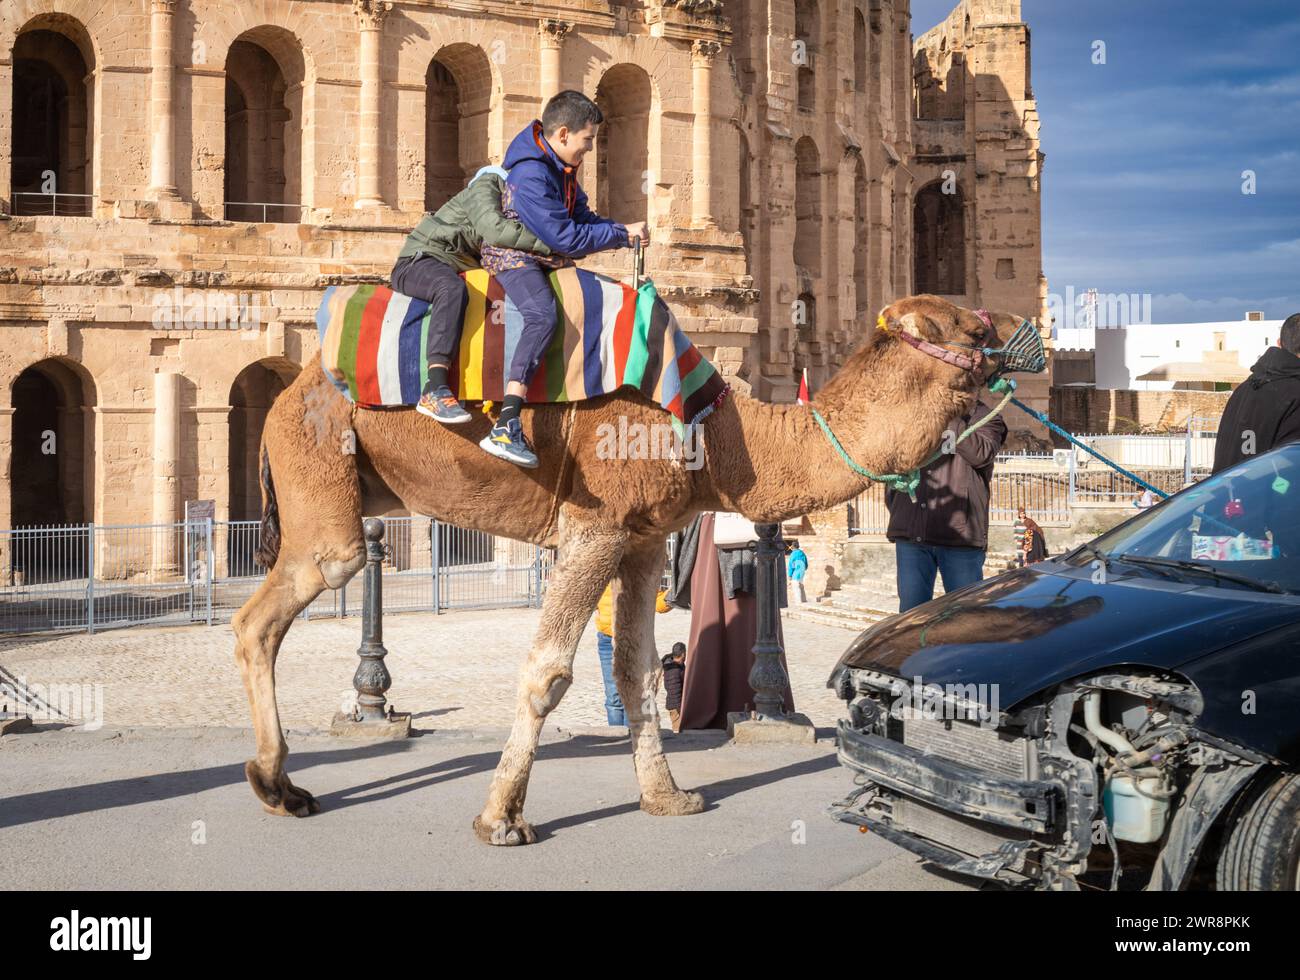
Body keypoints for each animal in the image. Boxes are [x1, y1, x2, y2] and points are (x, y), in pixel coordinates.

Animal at [232, 294, 1023, 845]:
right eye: (969, 329)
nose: (1019, 327)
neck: (721, 436)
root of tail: (290, 388)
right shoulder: (596, 524)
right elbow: (549, 670)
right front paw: (501, 819)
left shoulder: (644, 538)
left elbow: (638, 672)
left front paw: (668, 797)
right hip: (321, 477)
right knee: (269, 609)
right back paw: (277, 785)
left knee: (258, 624)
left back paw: (281, 787)